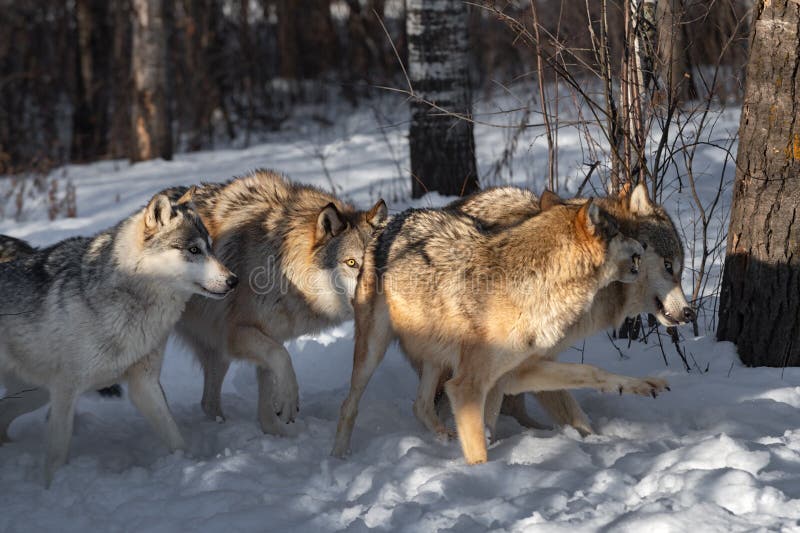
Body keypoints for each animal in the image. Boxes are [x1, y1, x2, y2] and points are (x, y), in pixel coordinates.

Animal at [0, 189, 238, 486]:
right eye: (194, 250)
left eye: (210, 248)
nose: (234, 281)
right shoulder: (65, 391)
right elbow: (56, 455)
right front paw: (52, 488)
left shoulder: (144, 384)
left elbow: (175, 437)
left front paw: (191, 467)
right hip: (41, 394)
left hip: (34, 394)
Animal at [165, 170, 387, 435]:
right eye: (352, 263)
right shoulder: (236, 334)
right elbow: (282, 357)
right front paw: (288, 403)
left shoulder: (268, 334)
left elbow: (268, 392)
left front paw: (274, 432)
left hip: (217, 353)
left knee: (208, 402)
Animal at [332, 192, 649, 464]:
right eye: (619, 232)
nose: (643, 246)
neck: (534, 286)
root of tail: (393, 220)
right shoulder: (467, 386)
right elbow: (479, 450)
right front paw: (480, 473)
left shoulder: (514, 373)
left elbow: (590, 371)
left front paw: (643, 385)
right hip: (374, 352)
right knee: (348, 405)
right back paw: (340, 457)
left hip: (437, 358)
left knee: (420, 405)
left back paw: (446, 439)